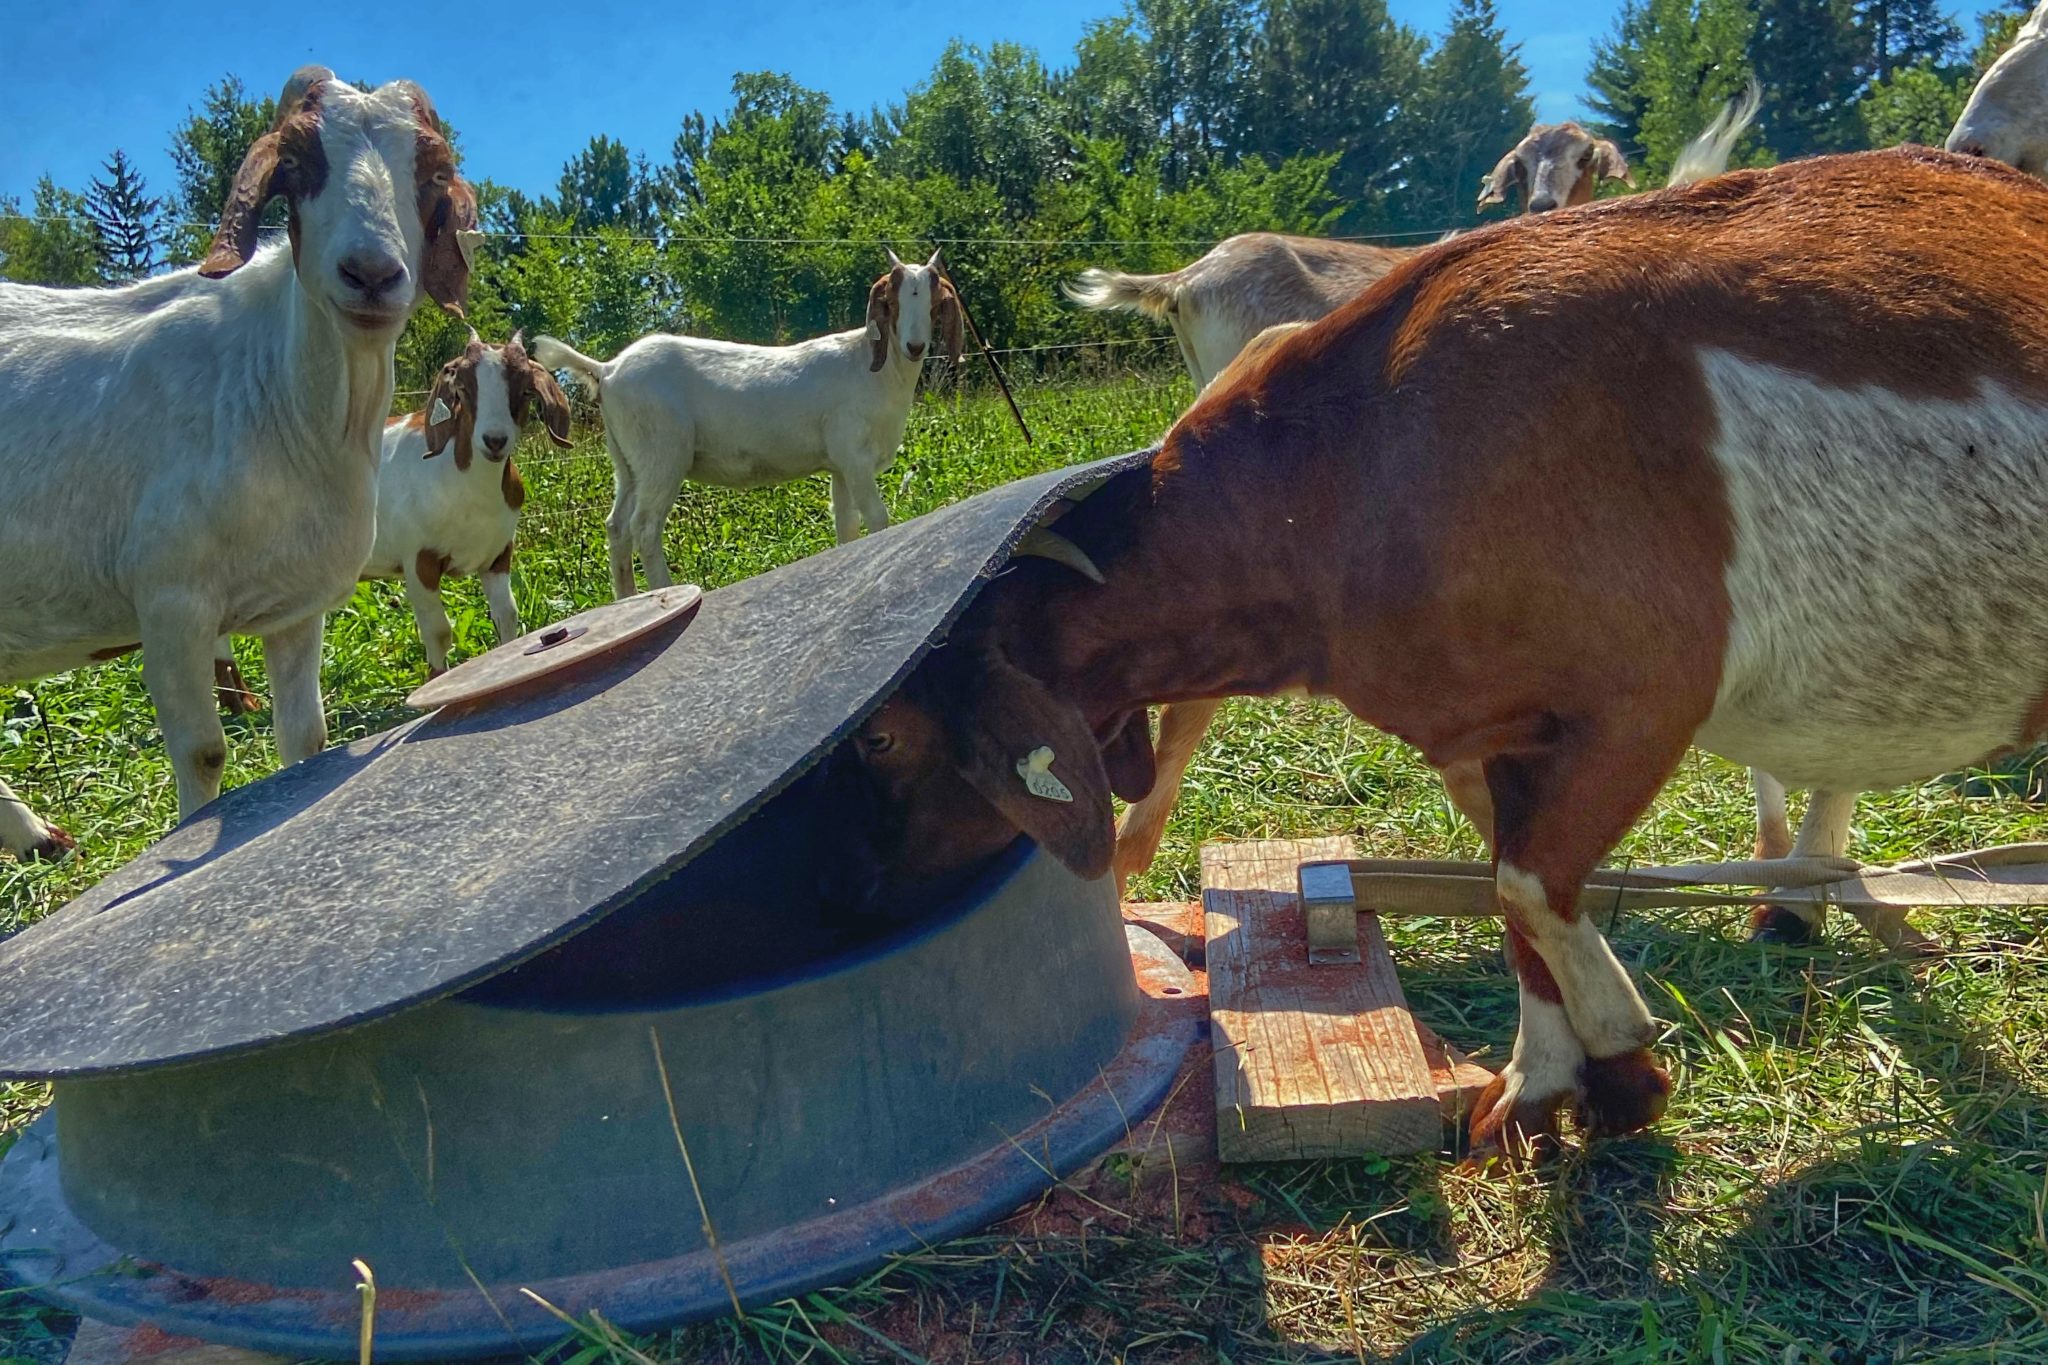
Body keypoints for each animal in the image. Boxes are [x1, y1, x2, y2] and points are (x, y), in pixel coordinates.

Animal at [0, 67, 477, 860]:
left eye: (431, 173)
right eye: (300, 164)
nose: (372, 273)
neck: (276, 396)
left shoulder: (297, 606)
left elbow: (306, 738)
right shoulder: (171, 603)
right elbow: (203, 753)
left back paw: (43, 839)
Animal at [531, 251, 964, 599]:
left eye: (933, 303)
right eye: (891, 303)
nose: (915, 347)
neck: (872, 369)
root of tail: (606, 369)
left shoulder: (840, 466)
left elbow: (846, 527)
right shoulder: (855, 458)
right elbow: (877, 518)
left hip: (627, 462)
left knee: (617, 528)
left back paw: (628, 600)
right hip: (662, 456)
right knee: (645, 529)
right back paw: (666, 593)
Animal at [825, 147, 2048, 1154]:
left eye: (880, 739)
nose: (863, 899)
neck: (1348, 468)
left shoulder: (1641, 696)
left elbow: (1526, 881)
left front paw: (1618, 1053)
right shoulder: (1480, 729)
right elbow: (1517, 897)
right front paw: (1558, 1085)